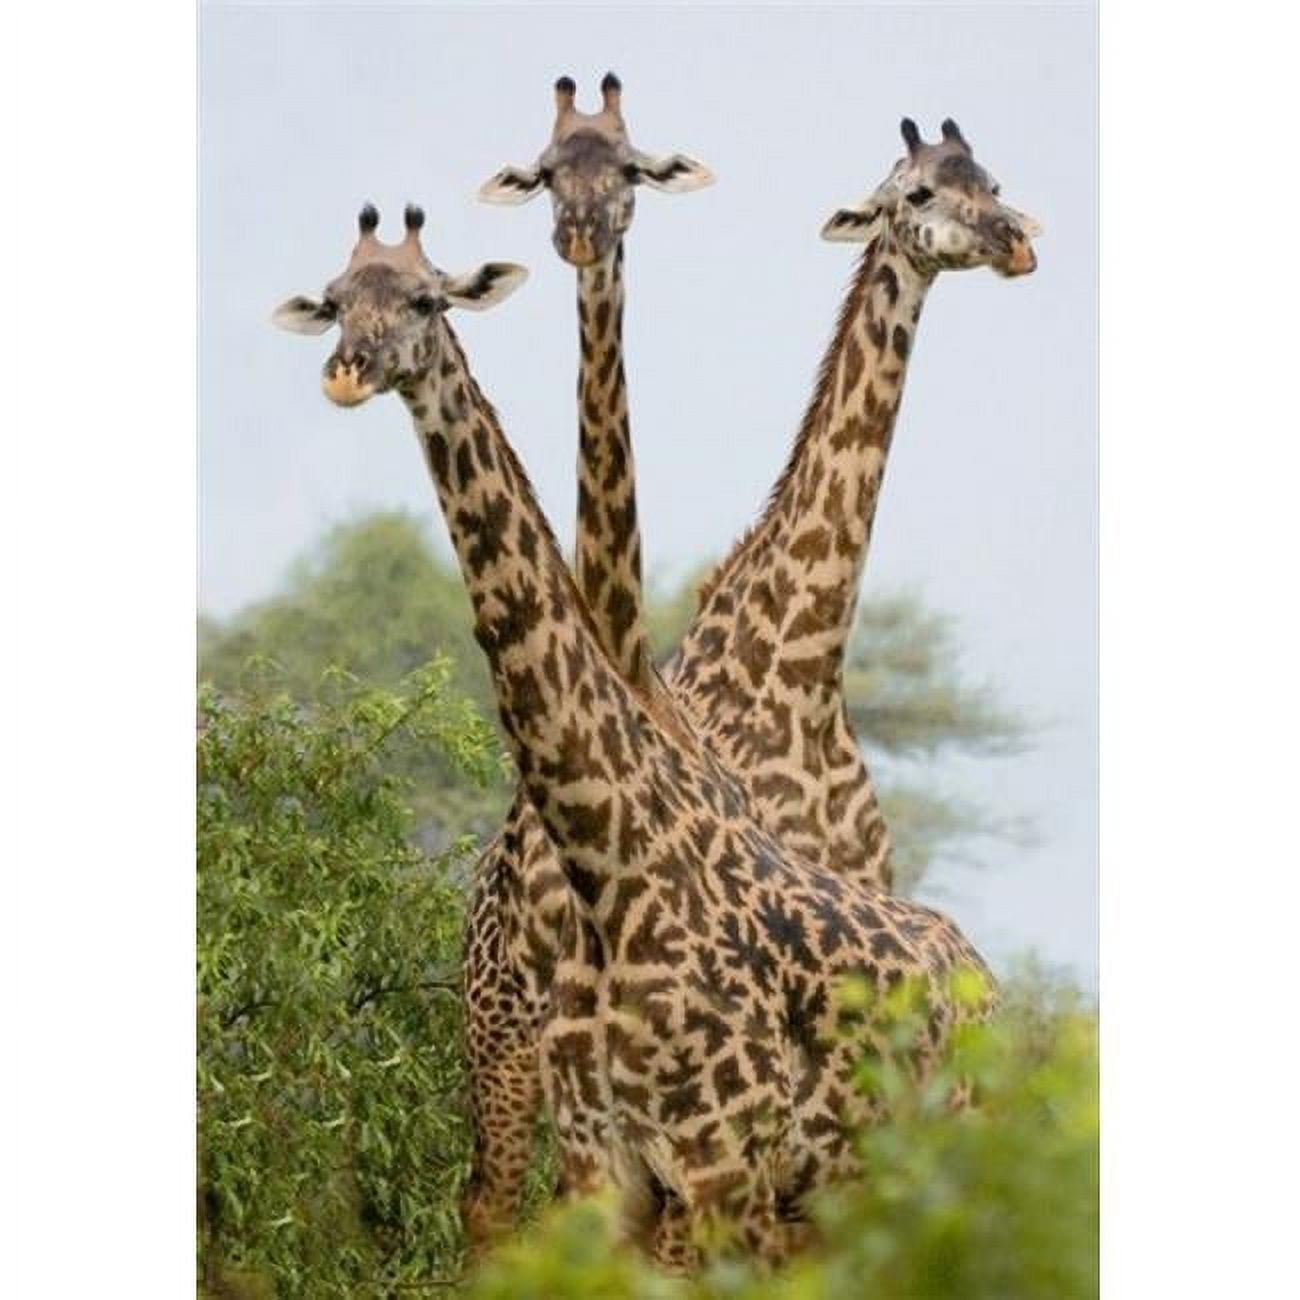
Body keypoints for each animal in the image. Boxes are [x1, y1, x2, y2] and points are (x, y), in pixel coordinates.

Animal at [272, 200, 997, 1269]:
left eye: (426, 299)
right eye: (331, 300)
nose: (347, 369)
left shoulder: (715, 1168)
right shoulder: (620, 1158)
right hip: (507, 1043)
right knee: (488, 1211)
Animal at [454, 115, 1041, 1245]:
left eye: (988, 181)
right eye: (914, 193)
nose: (1015, 240)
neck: (801, 667)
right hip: (503, 1041)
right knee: (491, 1214)